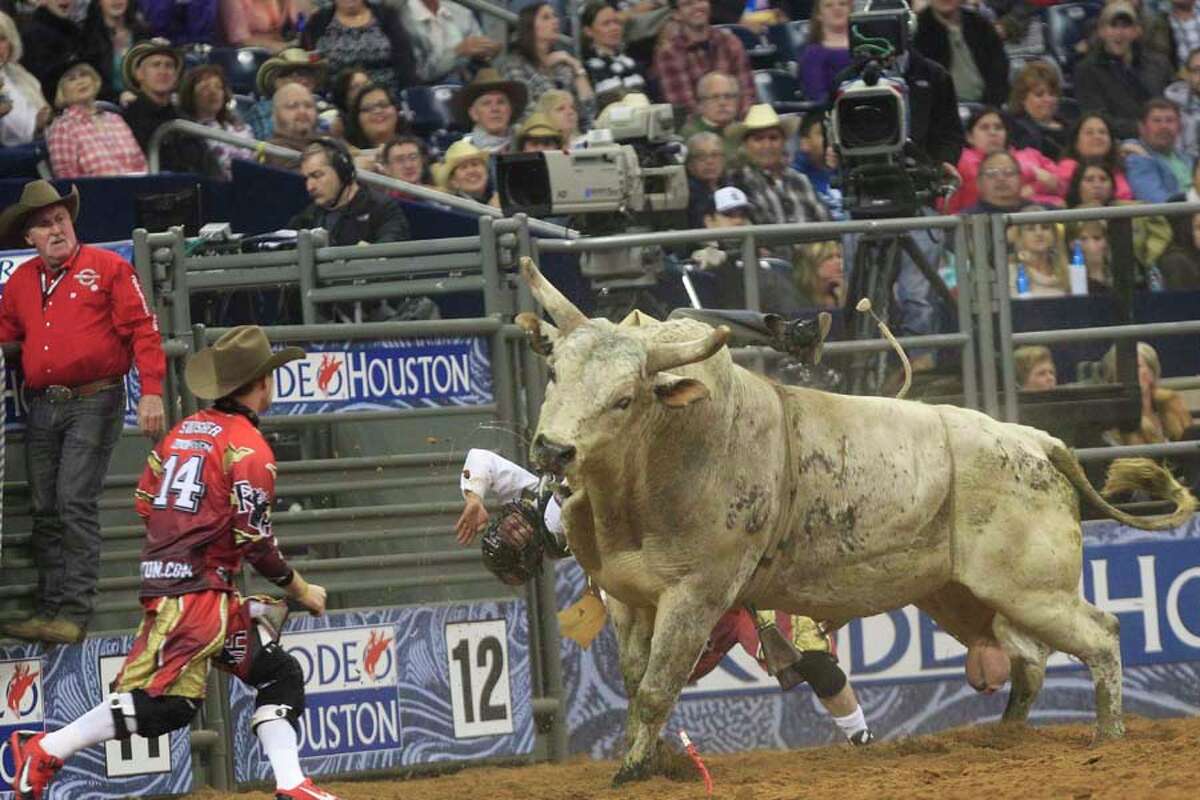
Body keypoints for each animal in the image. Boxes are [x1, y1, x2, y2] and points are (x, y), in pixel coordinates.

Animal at [512, 257, 1198, 786]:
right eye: (554, 372)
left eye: (624, 397)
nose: (553, 450)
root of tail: (1037, 441)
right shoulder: (628, 598)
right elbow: (637, 686)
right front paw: (653, 762)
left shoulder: (696, 592)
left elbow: (658, 686)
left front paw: (631, 771)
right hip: (960, 594)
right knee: (1026, 657)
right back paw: (1007, 738)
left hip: (1035, 588)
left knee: (1101, 634)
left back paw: (1109, 736)